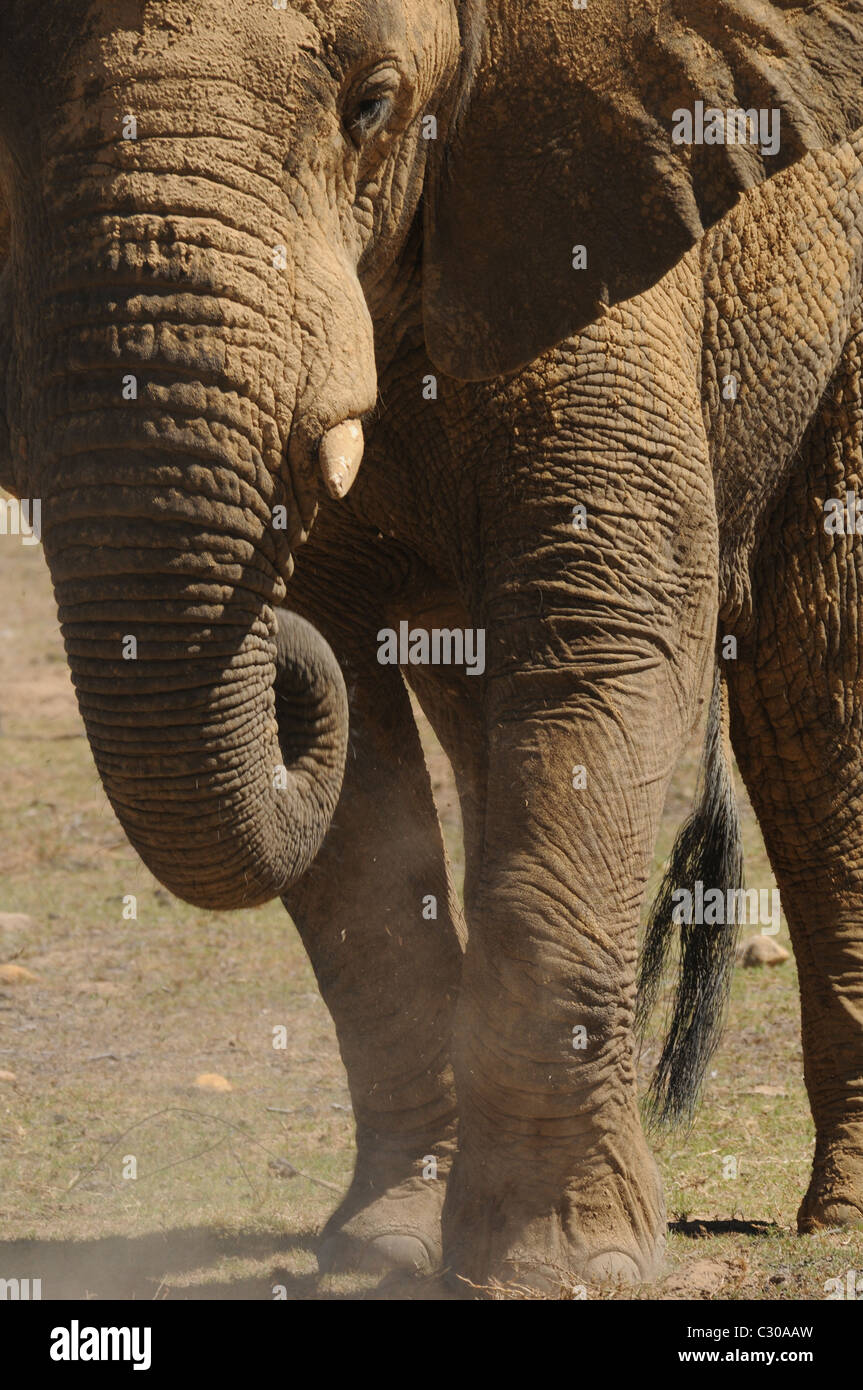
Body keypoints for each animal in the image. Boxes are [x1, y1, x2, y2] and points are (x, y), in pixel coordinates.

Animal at [1, 0, 863, 1292]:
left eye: (370, 104)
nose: (271, 641)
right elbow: (358, 785)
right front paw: (386, 1245)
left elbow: (601, 628)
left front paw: (556, 1265)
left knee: (815, 690)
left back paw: (838, 1212)